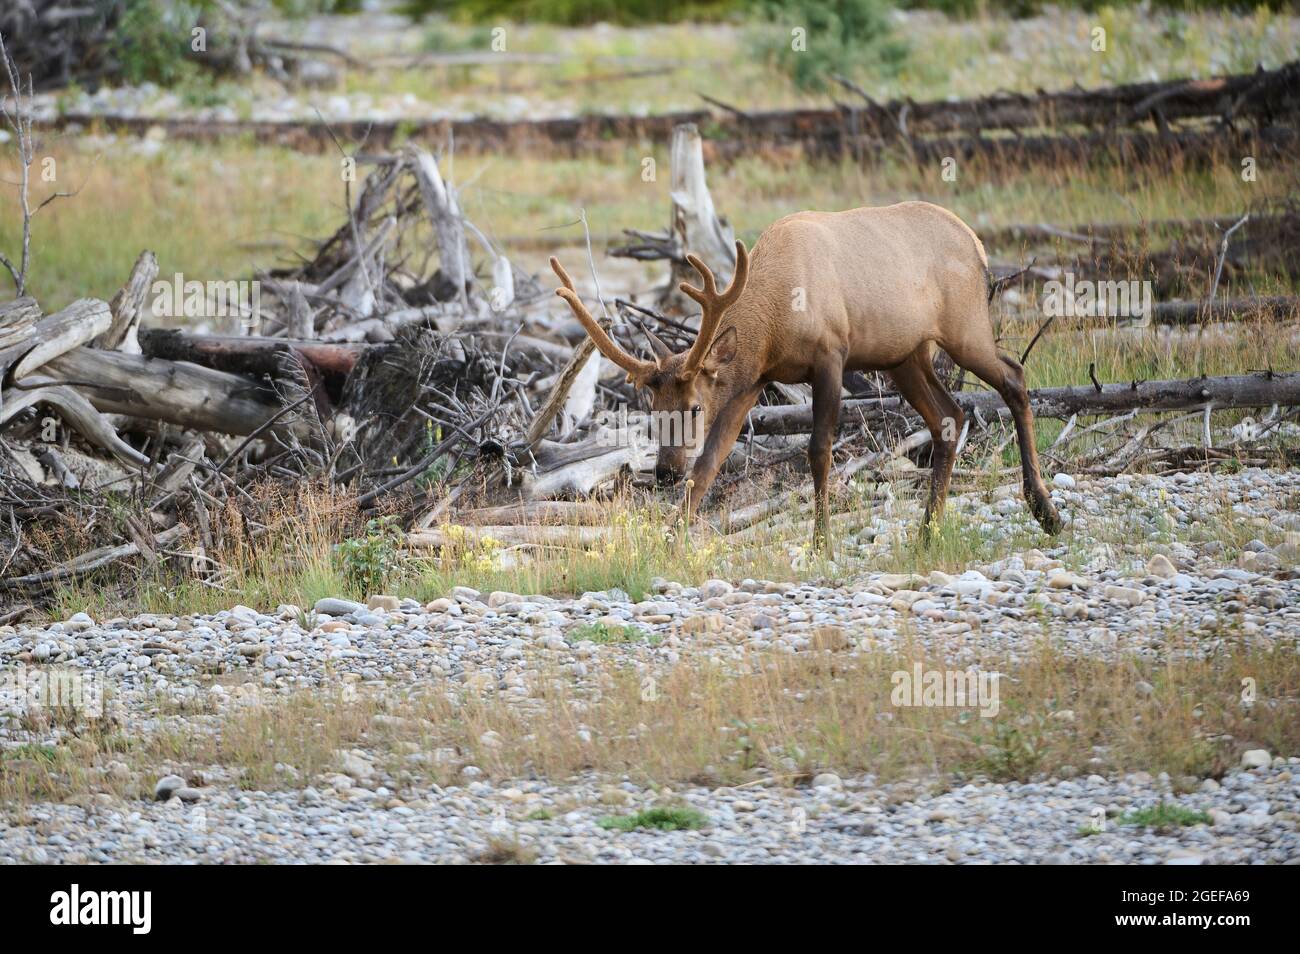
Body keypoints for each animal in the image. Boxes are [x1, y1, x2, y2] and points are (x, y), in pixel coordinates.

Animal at [550, 200, 1063, 550]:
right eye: (654, 409)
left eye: (694, 406)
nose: (664, 472)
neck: (775, 319)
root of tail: (976, 242)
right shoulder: (754, 379)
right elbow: (710, 463)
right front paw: (670, 540)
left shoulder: (830, 355)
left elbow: (818, 451)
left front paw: (821, 543)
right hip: (905, 356)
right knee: (949, 417)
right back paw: (928, 531)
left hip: (965, 326)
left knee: (1015, 377)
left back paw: (1046, 511)